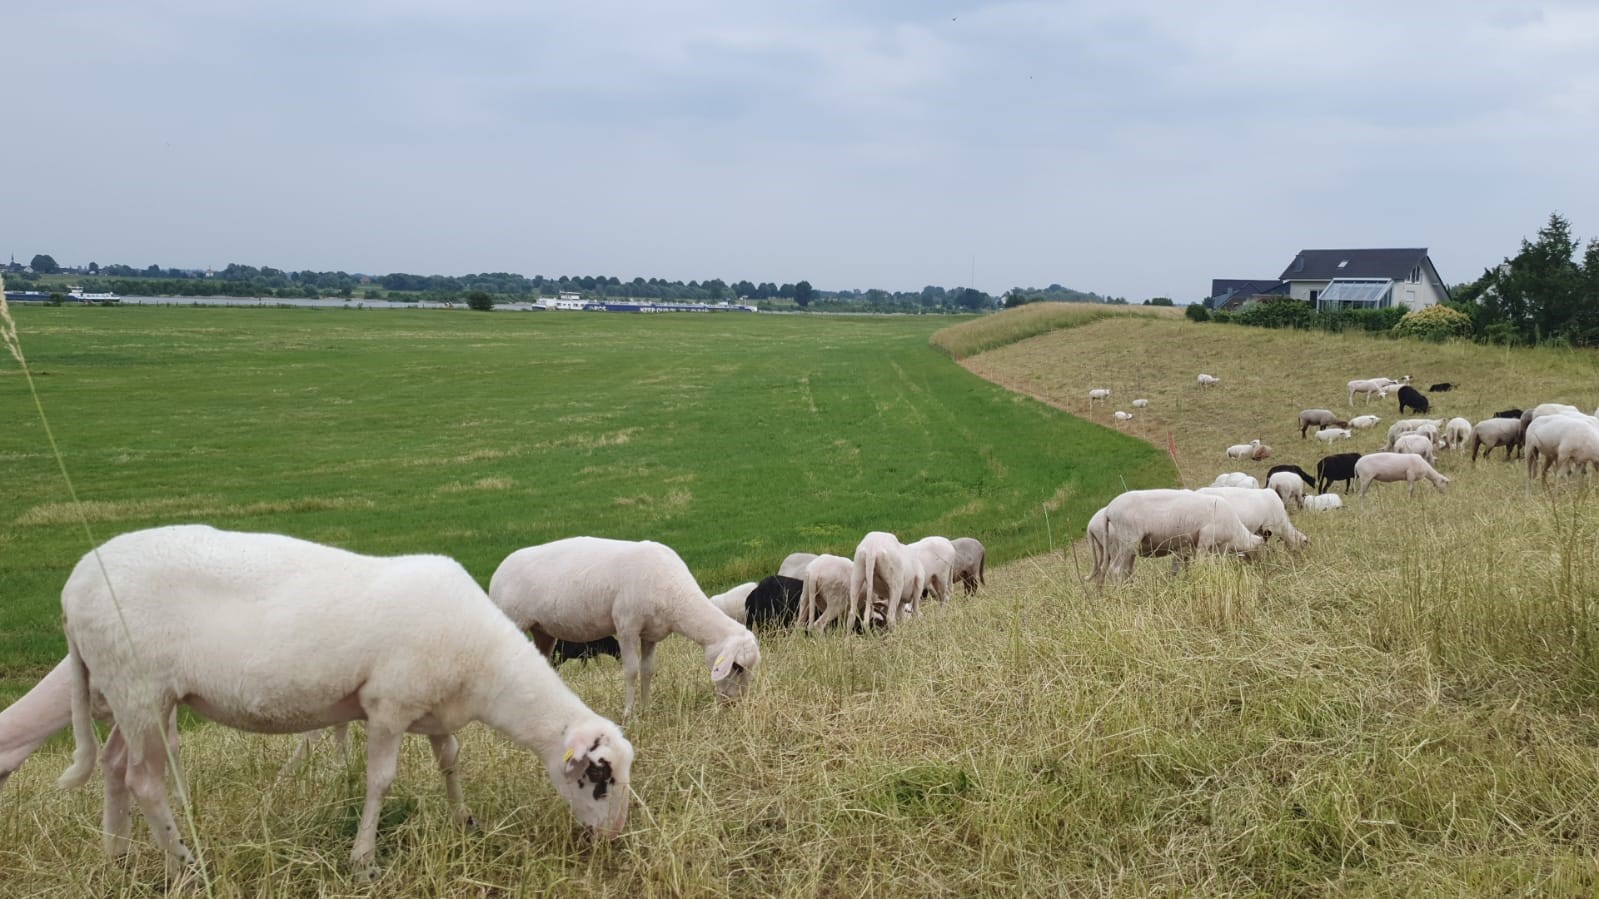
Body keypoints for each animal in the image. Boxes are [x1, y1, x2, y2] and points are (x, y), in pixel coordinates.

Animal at [56, 525, 634, 874]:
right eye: (598, 778)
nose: (614, 839)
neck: (486, 667)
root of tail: (73, 585)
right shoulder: (388, 706)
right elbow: (380, 781)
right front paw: (363, 859)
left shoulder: (433, 709)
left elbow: (451, 759)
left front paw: (463, 822)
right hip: (140, 689)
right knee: (144, 780)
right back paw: (187, 865)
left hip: (131, 693)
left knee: (114, 766)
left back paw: (117, 854)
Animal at [490, 536, 761, 718]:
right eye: (736, 667)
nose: (735, 704)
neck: (677, 595)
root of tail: (498, 571)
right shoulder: (626, 627)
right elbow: (631, 671)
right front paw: (628, 714)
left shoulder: (651, 634)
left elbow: (648, 670)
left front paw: (646, 709)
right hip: (513, 620)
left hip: (542, 631)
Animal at [1090, 489, 1263, 585]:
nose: (1262, 572)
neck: (1235, 534)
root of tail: (1109, 510)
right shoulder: (1205, 539)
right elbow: (1198, 566)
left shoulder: (1185, 548)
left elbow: (1180, 569)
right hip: (1127, 540)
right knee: (1115, 571)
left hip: (1123, 546)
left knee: (1117, 571)